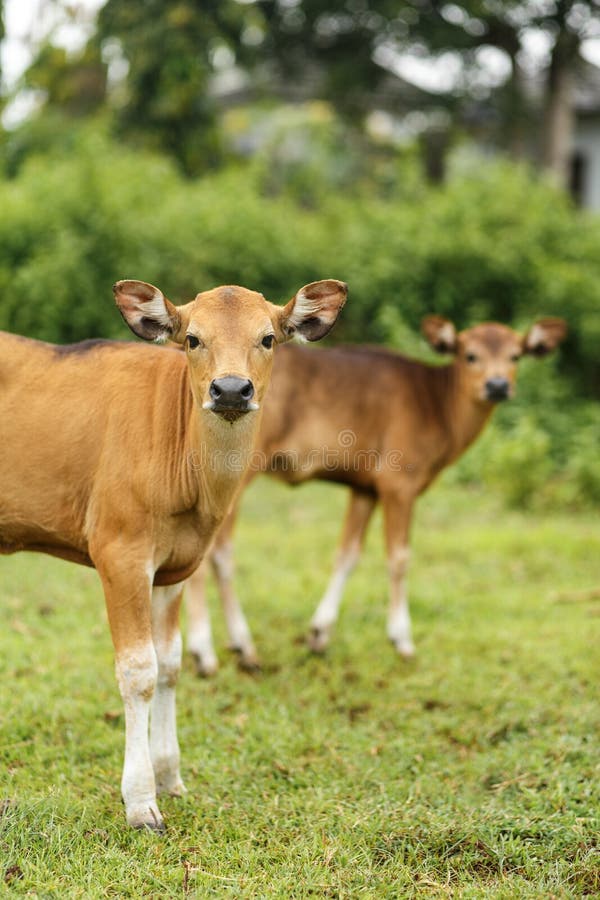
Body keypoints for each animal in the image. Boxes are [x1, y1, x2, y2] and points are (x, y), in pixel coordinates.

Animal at [0, 277, 347, 830]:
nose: (231, 390)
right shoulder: (119, 554)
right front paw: (141, 800)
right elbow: (138, 670)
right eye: (192, 338)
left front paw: (169, 776)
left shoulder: (176, 568)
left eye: (268, 338)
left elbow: (171, 663)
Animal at [185, 316, 567, 674]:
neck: (436, 406)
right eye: (470, 355)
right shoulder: (399, 482)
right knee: (213, 551)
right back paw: (214, 649)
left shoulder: (365, 487)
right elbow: (399, 558)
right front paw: (402, 639)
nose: (498, 385)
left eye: (516, 355)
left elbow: (347, 554)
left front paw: (319, 634)